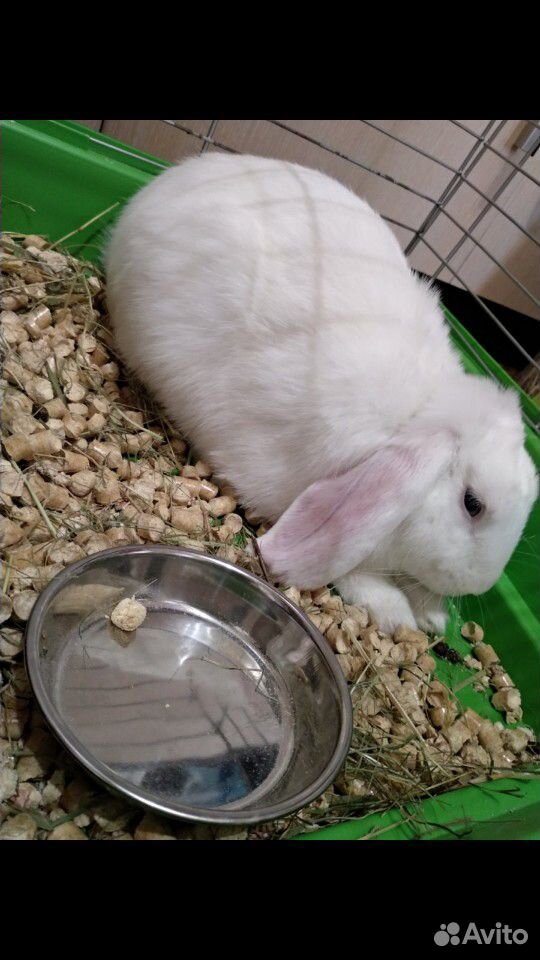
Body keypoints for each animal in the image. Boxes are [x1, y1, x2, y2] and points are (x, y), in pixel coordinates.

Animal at [105, 152, 538, 634]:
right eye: (472, 504)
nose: (480, 584)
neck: (417, 415)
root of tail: (158, 187)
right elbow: (354, 571)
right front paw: (399, 612)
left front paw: (433, 614)